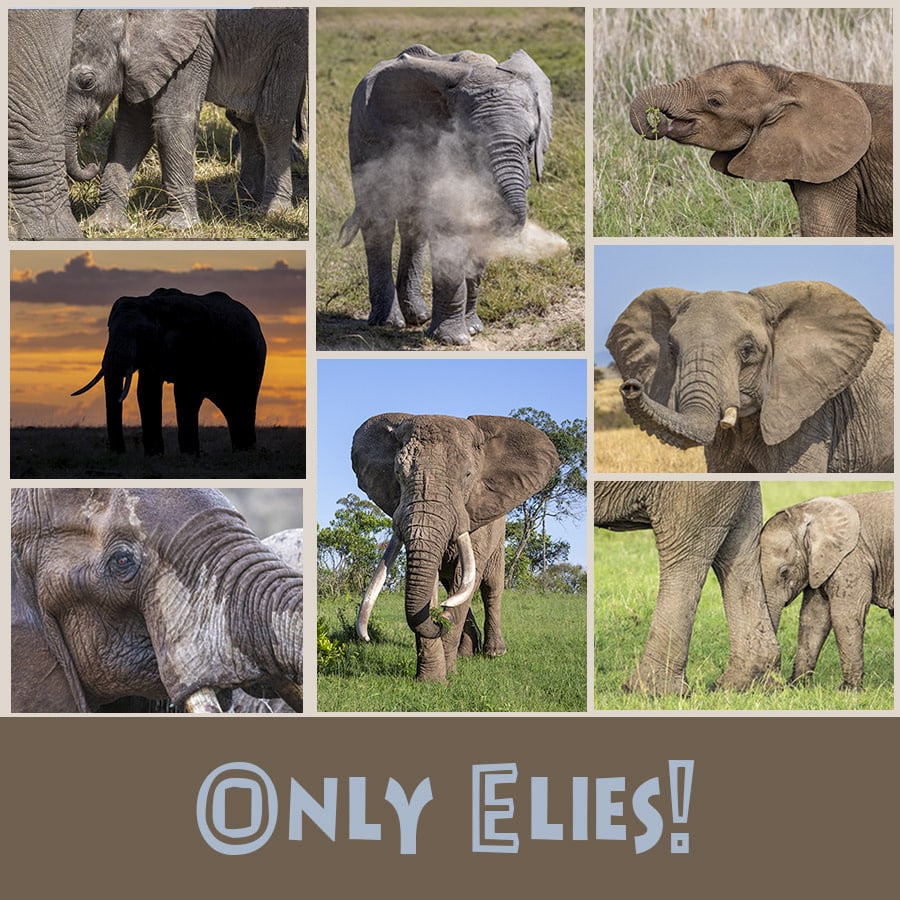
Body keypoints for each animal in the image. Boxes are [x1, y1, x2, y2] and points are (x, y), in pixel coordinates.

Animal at [66, 8, 308, 231]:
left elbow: (172, 120)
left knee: (271, 121)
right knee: (245, 120)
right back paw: (238, 207)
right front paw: (103, 225)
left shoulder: (191, 50)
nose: (92, 166)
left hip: (290, 45)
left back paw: (272, 211)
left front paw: (176, 227)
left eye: (87, 82)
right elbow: (132, 128)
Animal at [71, 287, 266, 456]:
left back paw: (246, 452)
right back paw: (242, 450)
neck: (156, 305)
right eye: (109, 330)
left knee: (243, 401)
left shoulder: (194, 344)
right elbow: (147, 391)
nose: (120, 453)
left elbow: (185, 393)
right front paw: (154, 456)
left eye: (140, 334)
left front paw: (188, 456)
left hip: (252, 359)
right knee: (231, 407)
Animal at [339, 45, 552, 345]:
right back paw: (389, 322)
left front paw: (473, 329)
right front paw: (454, 339)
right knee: (380, 224)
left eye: (531, 140)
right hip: (362, 137)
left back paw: (418, 317)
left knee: (413, 227)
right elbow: (448, 224)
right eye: (470, 141)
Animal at [351, 413, 560, 682]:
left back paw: (493, 652)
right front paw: (431, 680)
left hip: (499, 536)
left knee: (489, 587)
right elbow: (433, 586)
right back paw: (466, 651)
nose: (440, 620)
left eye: (468, 475)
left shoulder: (478, 518)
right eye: (398, 473)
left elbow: (468, 579)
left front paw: (443, 675)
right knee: (455, 587)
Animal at [761, 491, 894, 690]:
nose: (779, 683)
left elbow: (845, 615)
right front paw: (797, 686)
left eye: (784, 573)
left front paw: (848, 691)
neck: (808, 513)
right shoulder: (819, 565)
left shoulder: (851, 558)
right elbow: (813, 618)